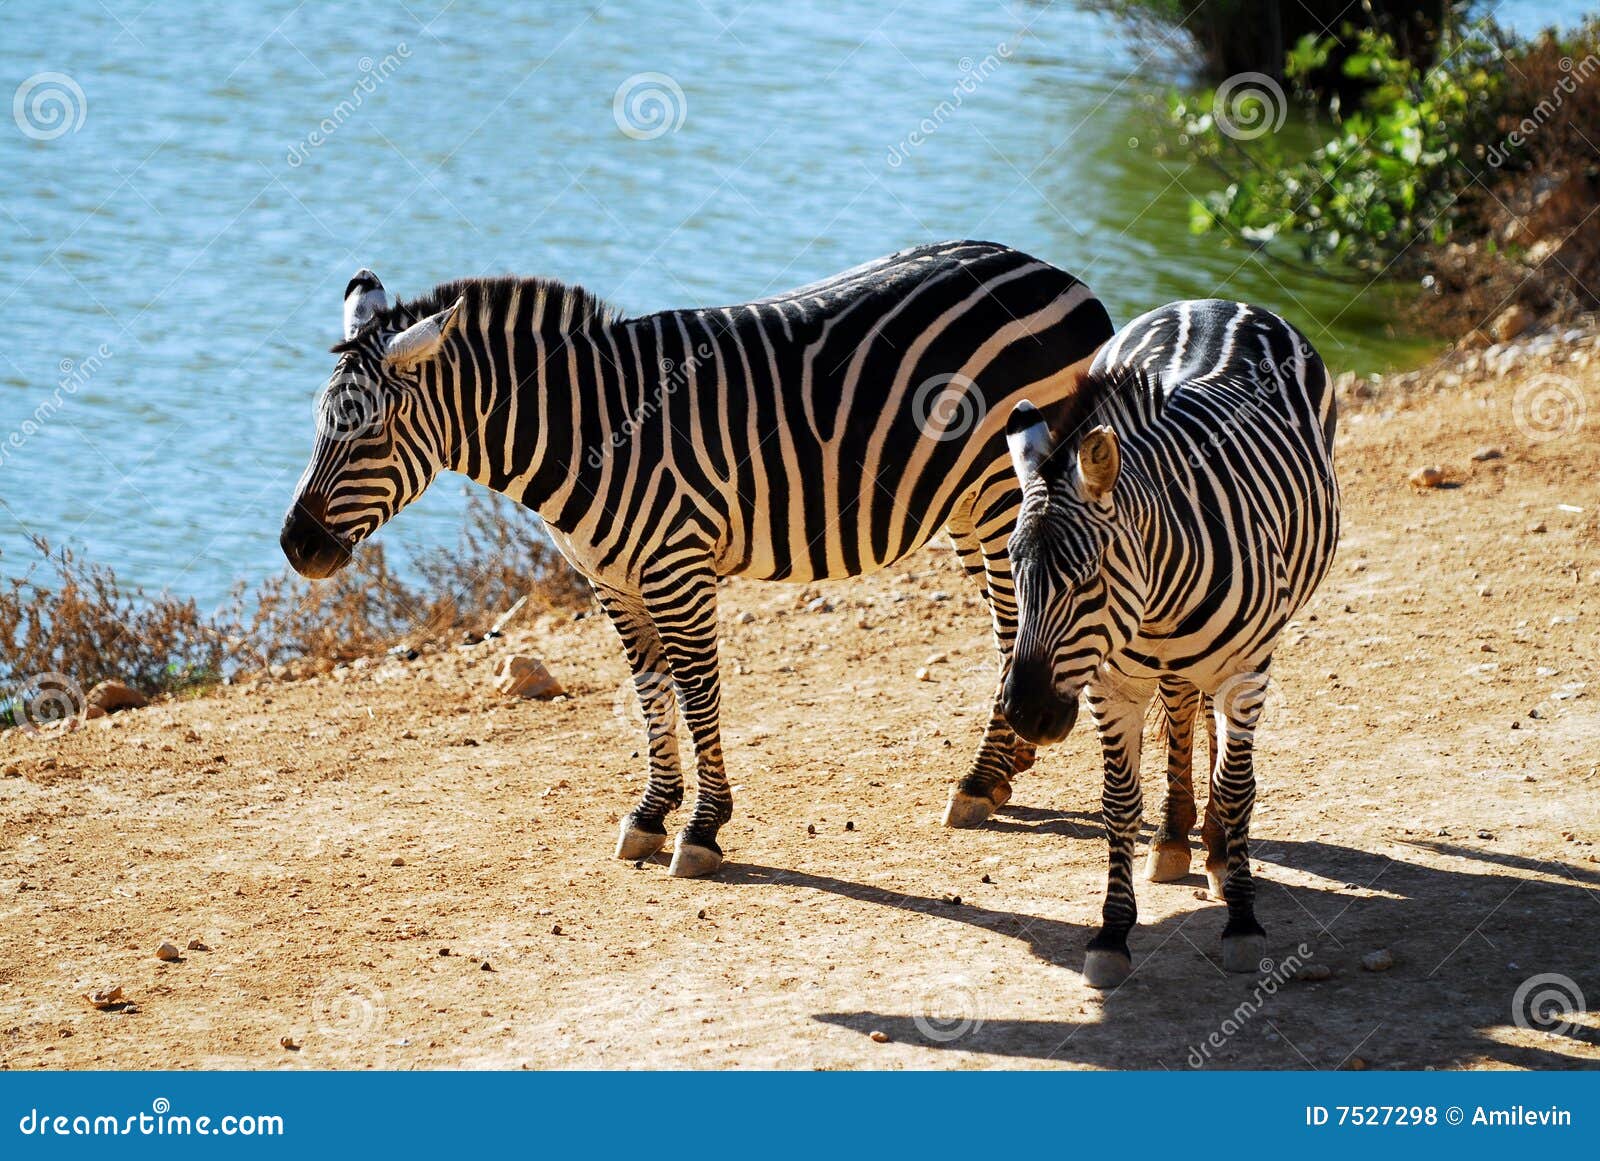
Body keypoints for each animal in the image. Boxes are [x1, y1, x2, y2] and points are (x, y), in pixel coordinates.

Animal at [280, 241, 1114, 877]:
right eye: (319, 425)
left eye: (371, 432)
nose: (295, 547)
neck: (593, 430)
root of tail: (1061, 276)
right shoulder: (612, 580)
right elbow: (651, 695)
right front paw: (651, 813)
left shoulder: (675, 569)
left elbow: (697, 694)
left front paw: (704, 827)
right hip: (971, 508)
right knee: (1009, 622)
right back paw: (999, 772)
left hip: (1005, 493)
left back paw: (982, 776)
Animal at [999, 299, 1339, 988]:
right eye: (1015, 574)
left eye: (1087, 580)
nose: (1025, 714)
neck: (1155, 604)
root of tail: (1215, 302)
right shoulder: (1111, 685)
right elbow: (1117, 802)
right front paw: (1112, 933)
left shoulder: (1244, 670)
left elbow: (1236, 790)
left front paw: (1242, 920)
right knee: (1184, 707)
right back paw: (1178, 837)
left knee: (1216, 740)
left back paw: (1215, 849)